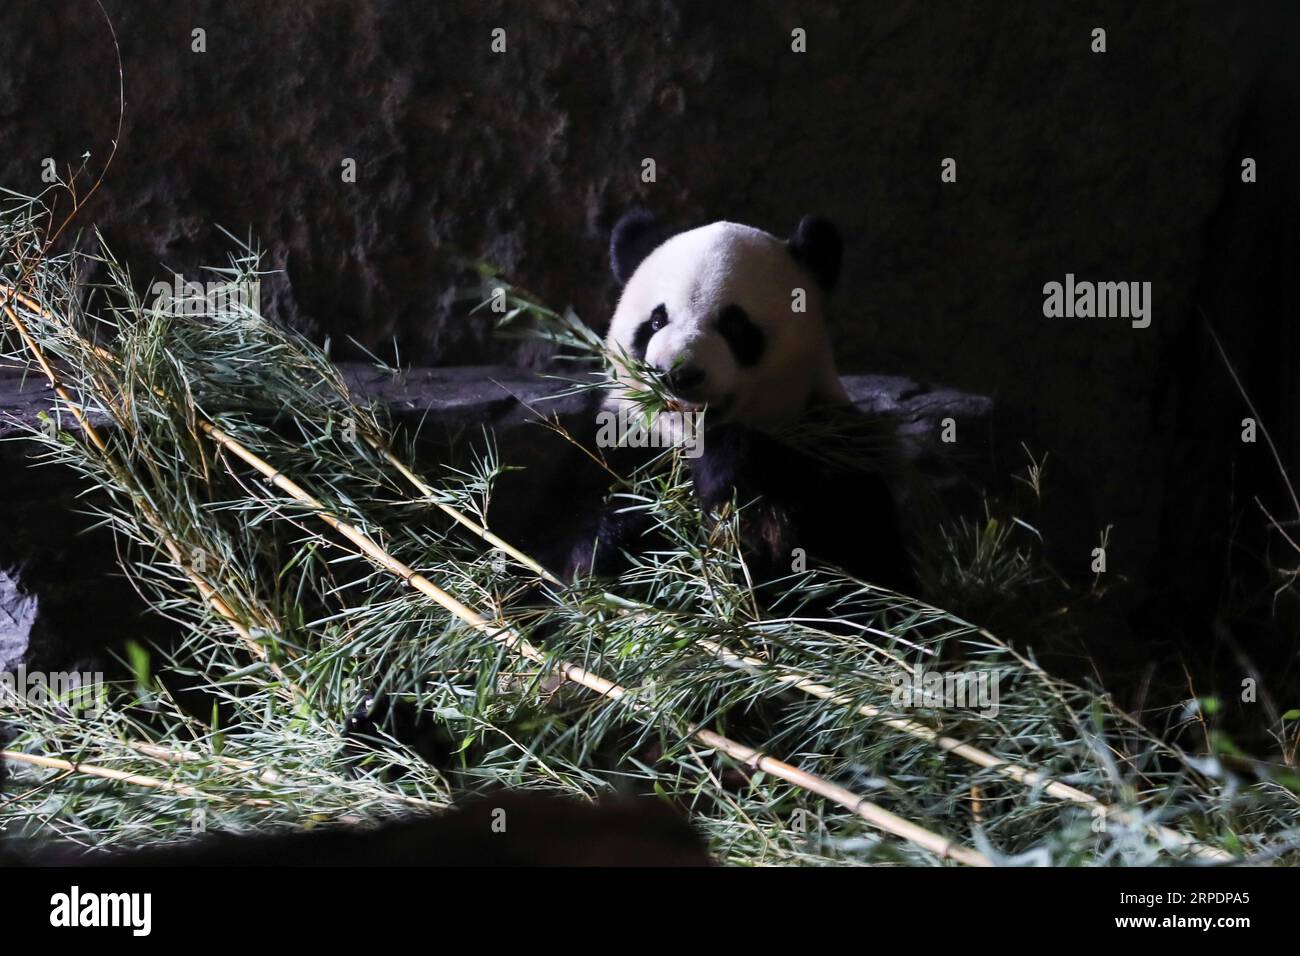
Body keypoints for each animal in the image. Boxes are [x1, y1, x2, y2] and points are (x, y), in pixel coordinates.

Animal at [563, 210, 916, 595]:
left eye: (735, 326)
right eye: (656, 321)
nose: (677, 374)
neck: (688, 443)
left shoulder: (833, 445)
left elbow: (851, 564)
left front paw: (728, 470)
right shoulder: (619, 443)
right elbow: (587, 549)